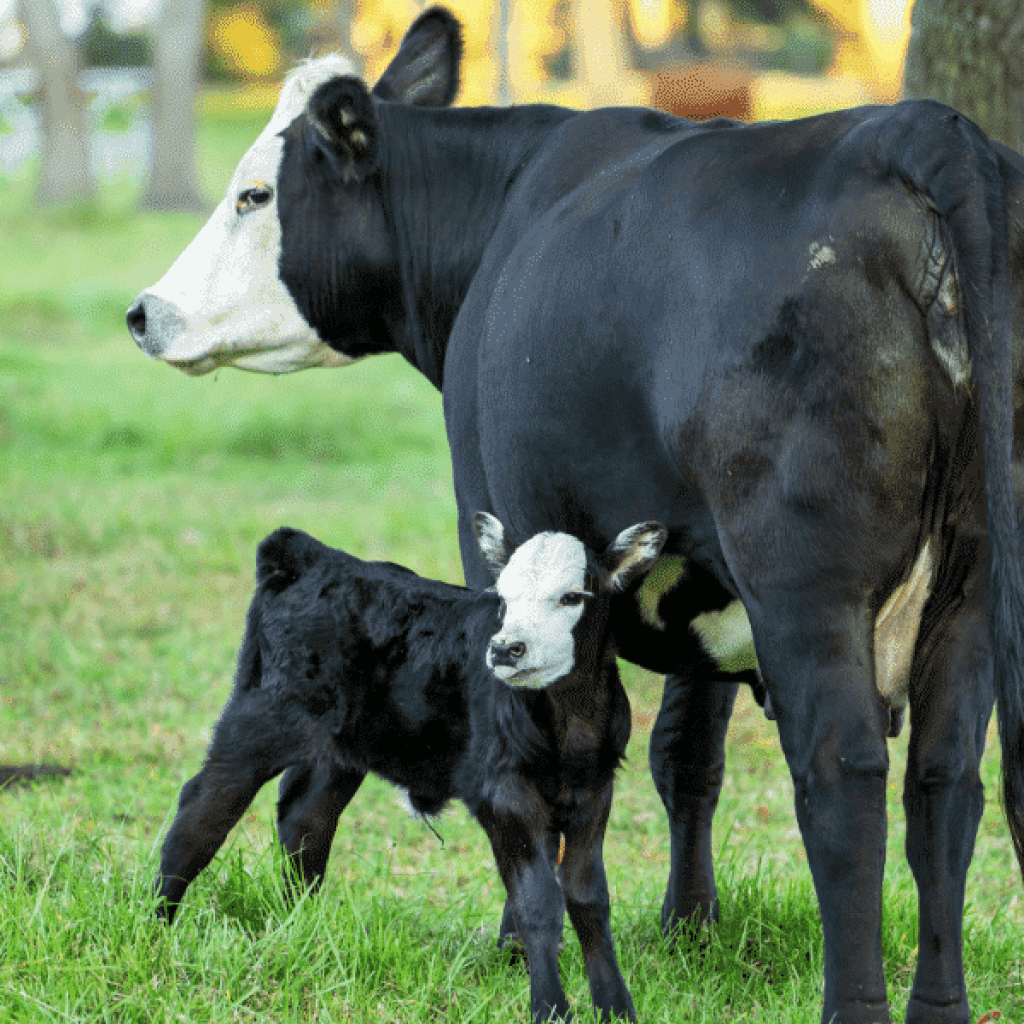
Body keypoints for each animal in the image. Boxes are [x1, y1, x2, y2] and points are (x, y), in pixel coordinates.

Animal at [156, 516, 667, 1023]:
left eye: (572, 596)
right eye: (502, 598)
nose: (506, 650)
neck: (570, 721)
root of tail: (312, 556)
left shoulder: (594, 792)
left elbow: (588, 899)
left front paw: (617, 1008)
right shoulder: (504, 793)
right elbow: (538, 903)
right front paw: (550, 1010)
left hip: (337, 751)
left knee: (305, 820)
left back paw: (299, 932)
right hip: (260, 718)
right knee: (203, 811)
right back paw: (159, 927)